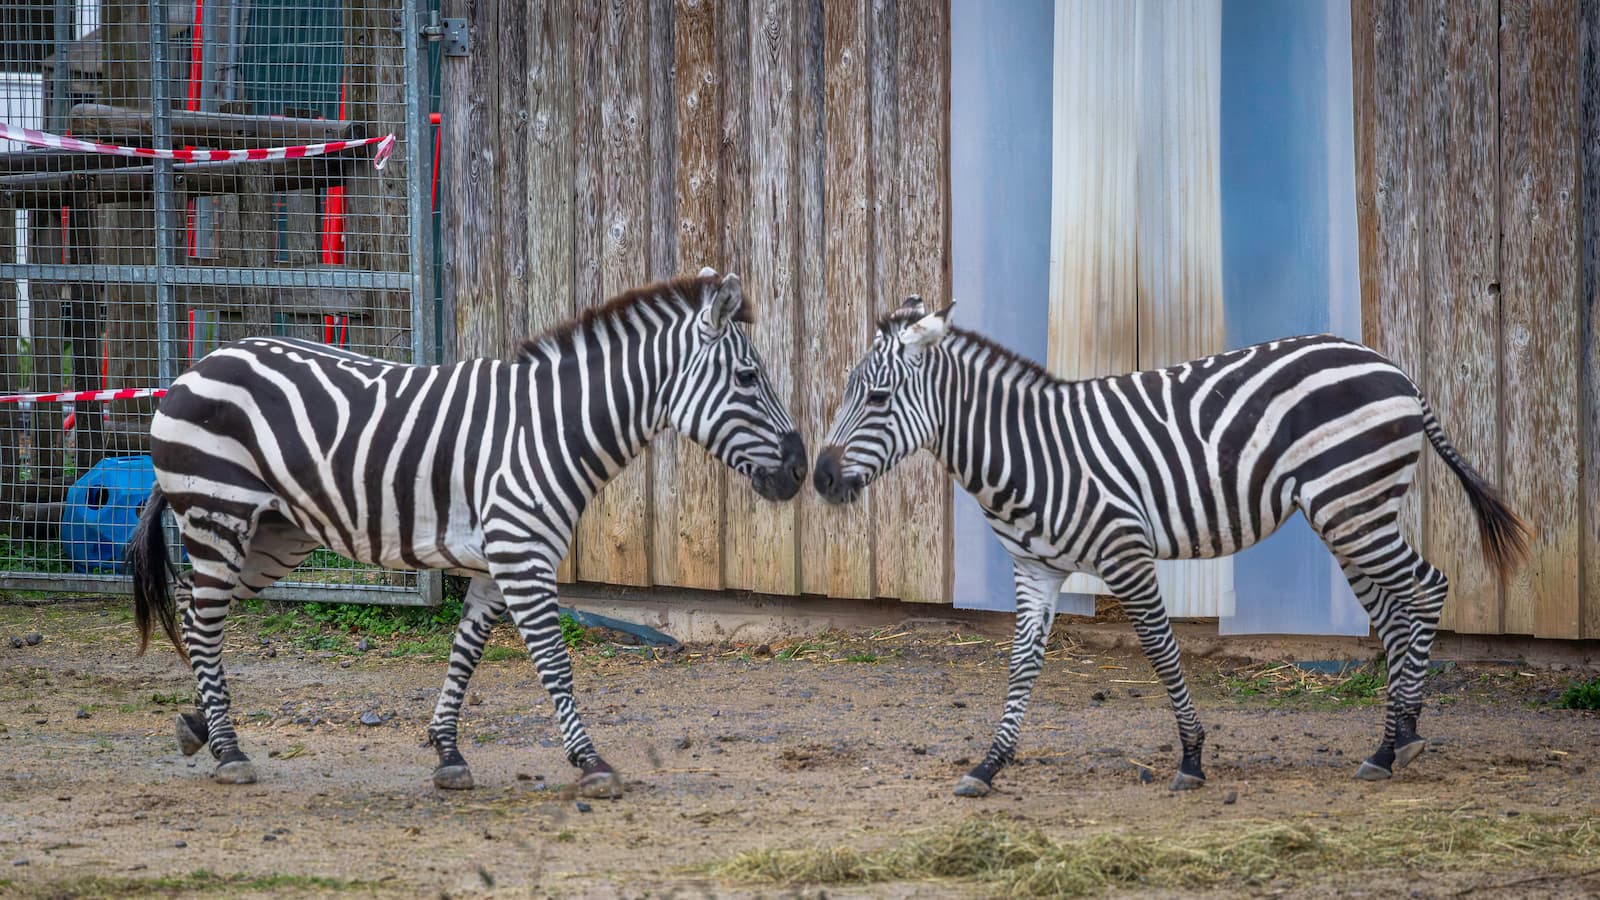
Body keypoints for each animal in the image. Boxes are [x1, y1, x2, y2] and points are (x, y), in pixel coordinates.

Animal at [128, 268, 807, 798]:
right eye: (748, 378)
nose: (802, 470)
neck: (552, 428)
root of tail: (197, 366)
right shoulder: (522, 557)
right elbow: (554, 663)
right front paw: (590, 762)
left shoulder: (491, 566)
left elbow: (465, 655)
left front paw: (447, 752)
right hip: (220, 514)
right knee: (205, 617)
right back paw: (229, 751)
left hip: (272, 537)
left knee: (196, 610)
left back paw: (202, 726)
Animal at [813, 296, 1529, 796]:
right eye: (848, 393)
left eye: (877, 397)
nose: (818, 478)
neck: (1028, 453)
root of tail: (1393, 367)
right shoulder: (1035, 569)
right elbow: (1020, 666)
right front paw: (989, 765)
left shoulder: (1124, 553)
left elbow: (1160, 652)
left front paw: (1191, 757)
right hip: (1350, 512)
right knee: (1393, 609)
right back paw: (1395, 738)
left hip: (1353, 505)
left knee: (1428, 588)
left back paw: (1395, 742)